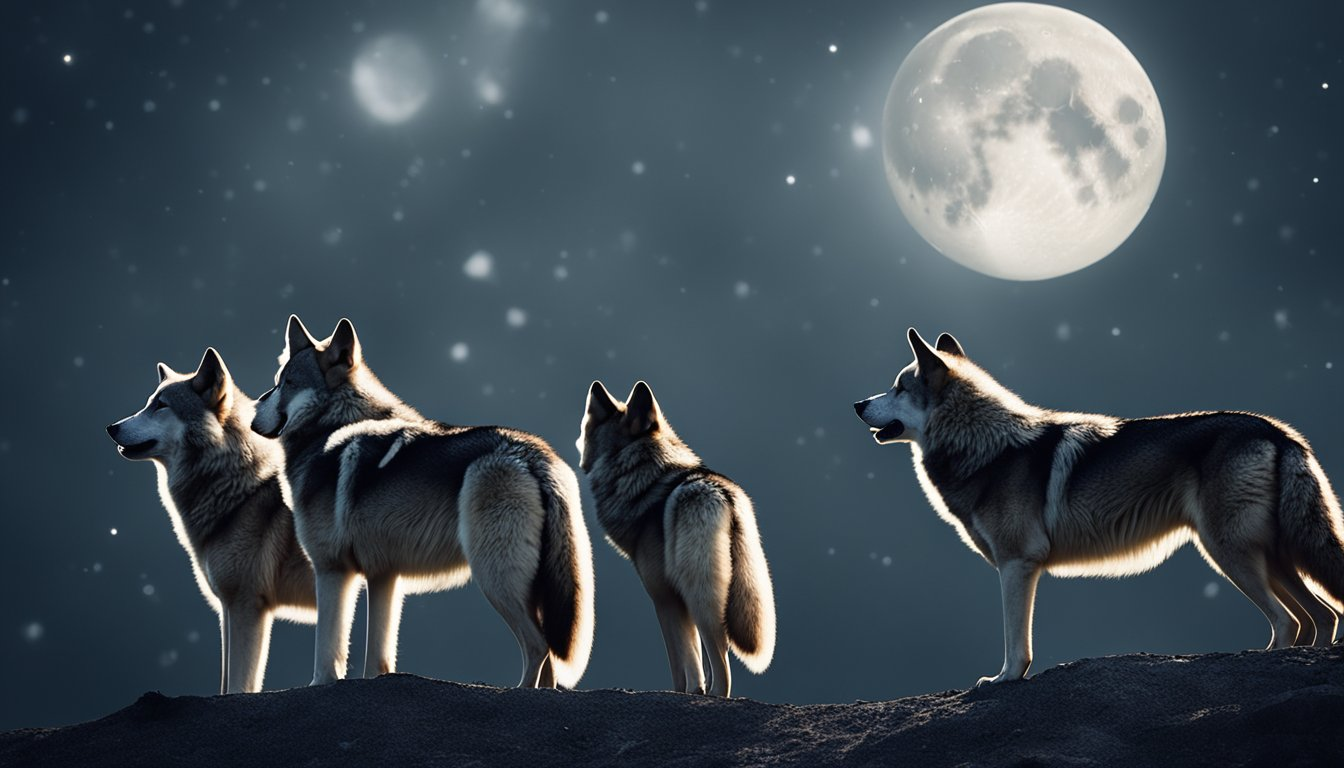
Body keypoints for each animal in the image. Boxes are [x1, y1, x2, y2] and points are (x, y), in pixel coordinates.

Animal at [106, 348, 316, 694]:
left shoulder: (246, 606)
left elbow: (238, 685)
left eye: (161, 405)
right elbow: (224, 682)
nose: (111, 427)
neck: (238, 492)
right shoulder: (228, 610)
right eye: (149, 402)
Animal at [250, 315, 594, 689]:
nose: (252, 411)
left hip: (495, 579)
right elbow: (378, 660)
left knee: (538, 646)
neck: (326, 429)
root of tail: (534, 456)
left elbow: (327, 656)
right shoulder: (384, 575)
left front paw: (320, 685)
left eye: (286, 383)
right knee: (550, 657)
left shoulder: (332, 569)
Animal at [578, 380, 775, 697]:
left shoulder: (664, 597)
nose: (596, 386)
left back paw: (717, 696)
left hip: (699, 596)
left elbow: (680, 662)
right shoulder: (675, 601)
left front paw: (685, 692)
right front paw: (695, 691)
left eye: (587, 426)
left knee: (721, 661)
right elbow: (693, 662)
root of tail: (722, 494)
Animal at [855, 329, 1344, 685]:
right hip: (1272, 559)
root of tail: (1280, 432)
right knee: (1322, 616)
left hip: (1230, 555)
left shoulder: (1017, 564)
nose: (858, 403)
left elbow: (1016, 642)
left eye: (897, 387)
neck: (985, 448)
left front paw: (1003, 680)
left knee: (1288, 622)